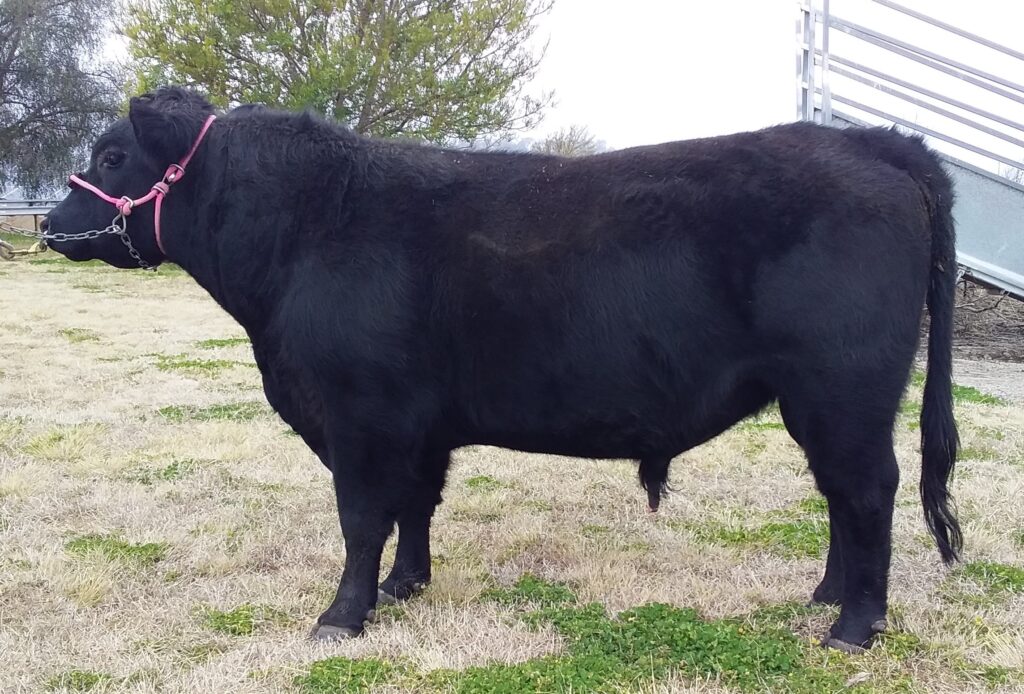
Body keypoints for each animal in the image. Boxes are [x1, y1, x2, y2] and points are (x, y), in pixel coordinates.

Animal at [43, 86, 962, 653]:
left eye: (112, 154)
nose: (51, 223)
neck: (306, 229)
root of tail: (874, 145)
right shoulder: (416, 425)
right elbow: (415, 508)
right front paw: (405, 587)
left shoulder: (360, 416)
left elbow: (361, 519)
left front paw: (341, 617)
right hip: (824, 400)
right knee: (841, 497)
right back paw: (826, 596)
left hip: (843, 392)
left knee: (867, 492)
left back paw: (855, 626)